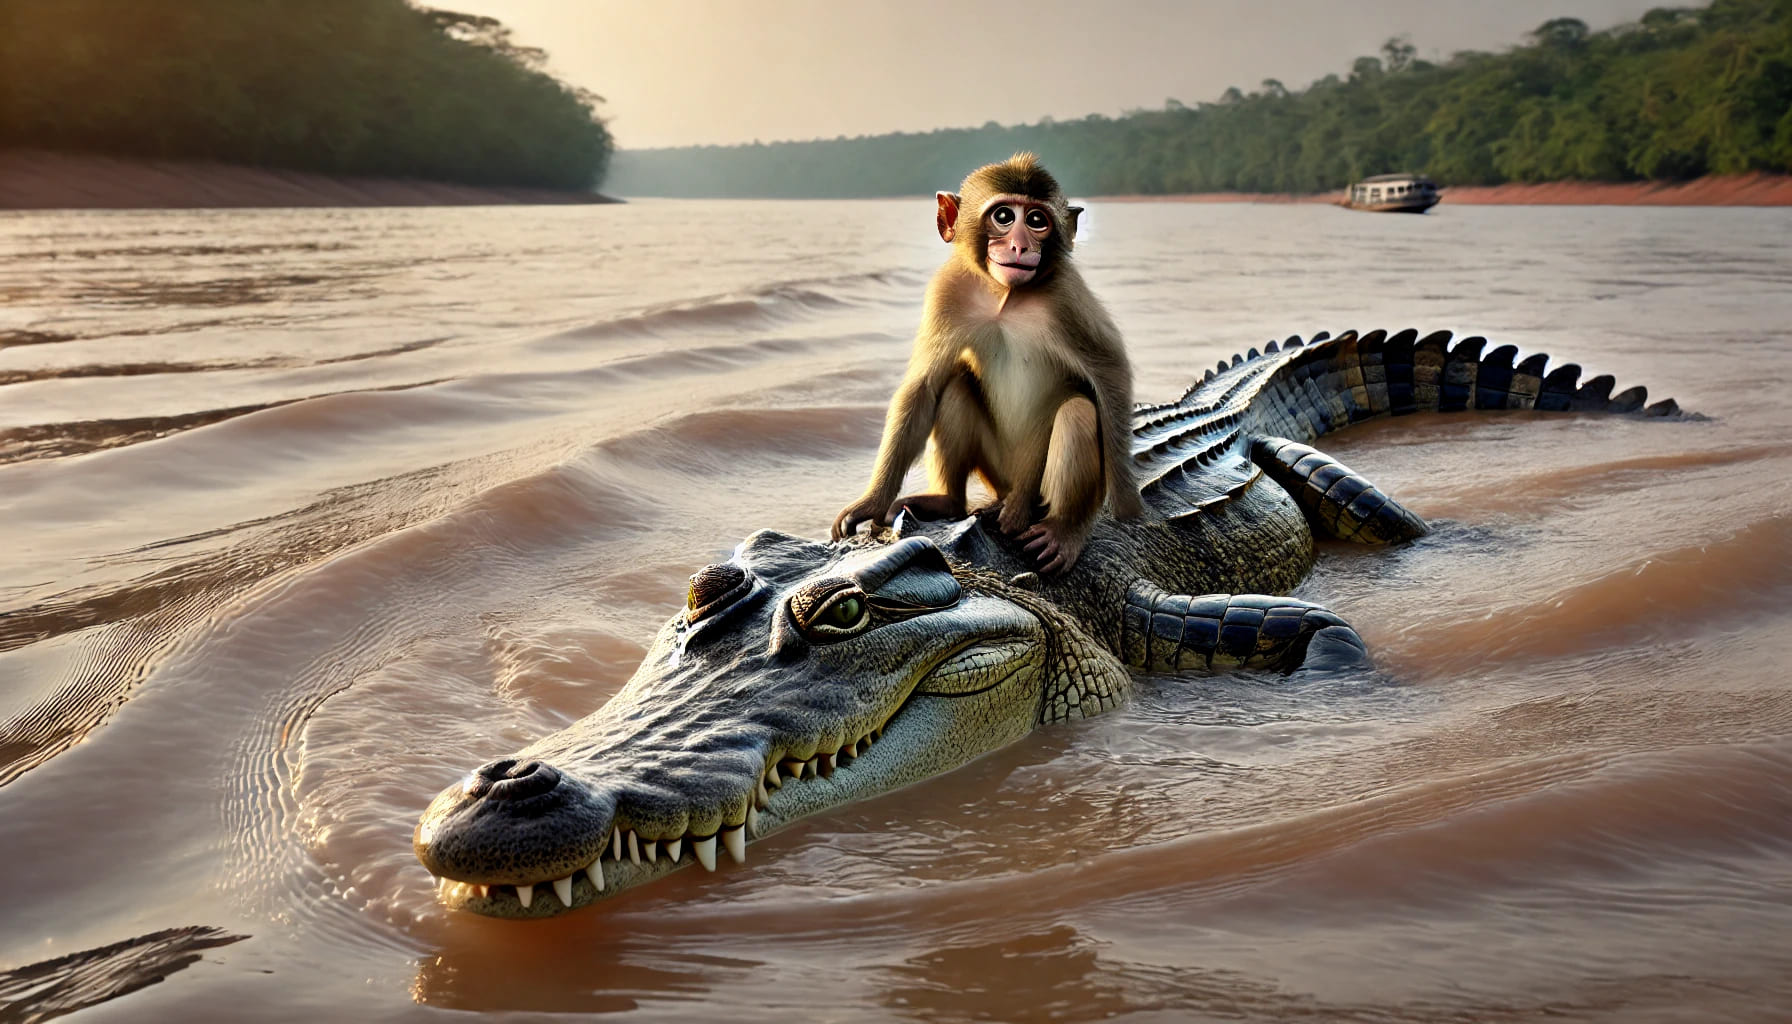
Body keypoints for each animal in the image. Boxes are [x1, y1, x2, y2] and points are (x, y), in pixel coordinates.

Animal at [831, 153, 1141, 575]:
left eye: (1037, 220)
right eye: (1004, 216)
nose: (1019, 244)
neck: (1005, 297)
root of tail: (1008, 489)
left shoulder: (1068, 297)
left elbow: (1111, 374)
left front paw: (1125, 508)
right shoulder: (947, 292)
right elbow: (924, 387)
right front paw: (871, 502)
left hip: (1031, 482)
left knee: (1077, 412)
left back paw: (1062, 527)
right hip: (994, 471)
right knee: (956, 384)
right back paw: (947, 501)